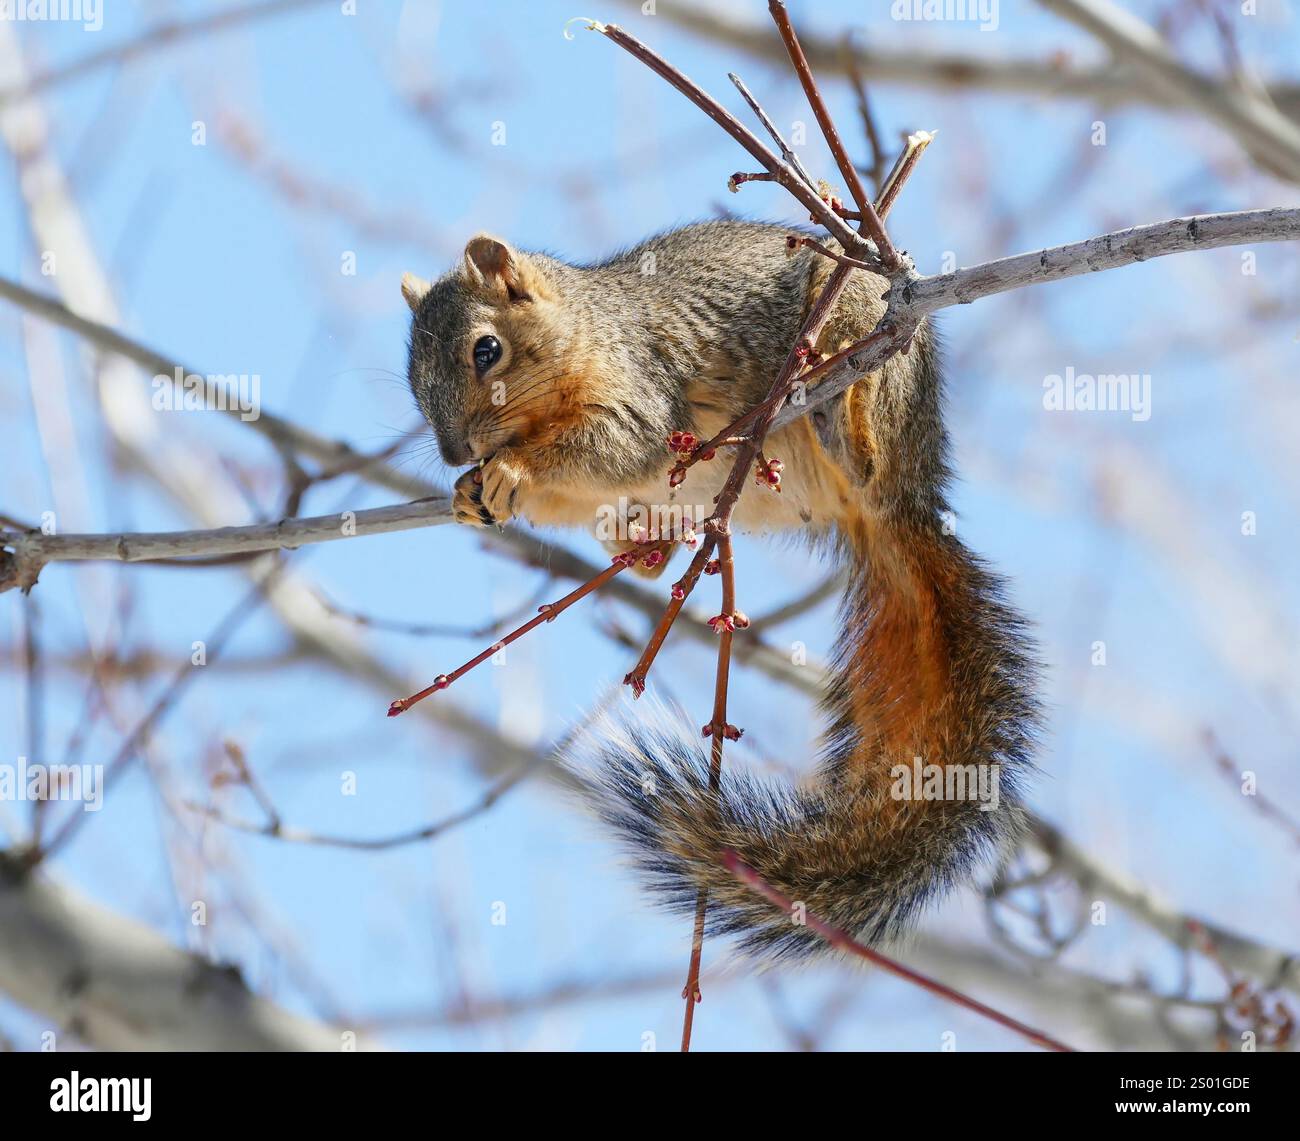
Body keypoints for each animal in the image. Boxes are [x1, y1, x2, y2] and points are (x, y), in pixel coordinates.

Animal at [403, 220, 1038, 958]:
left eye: (487, 350)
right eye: (412, 379)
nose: (455, 454)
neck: (583, 328)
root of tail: (908, 500)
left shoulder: (640, 391)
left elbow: (614, 445)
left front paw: (511, 469)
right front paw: (468, 493)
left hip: (864, 332)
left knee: (868, 431)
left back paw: (854, 415)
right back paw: (641, 548)